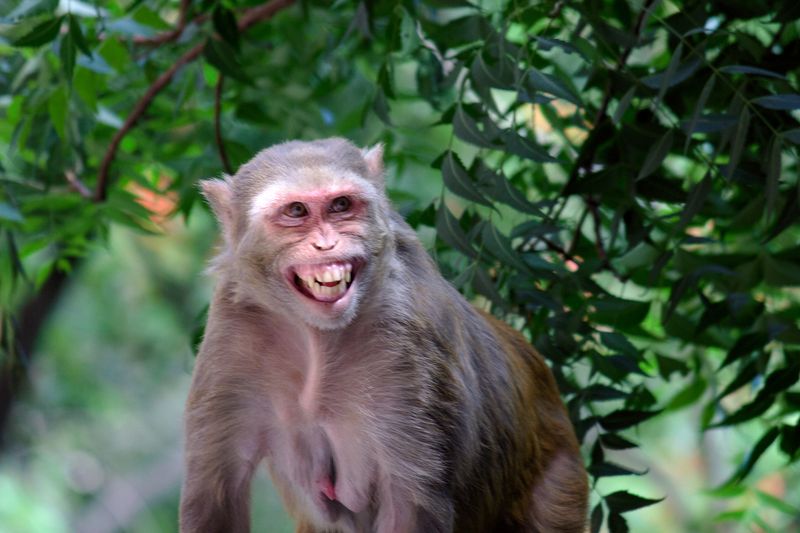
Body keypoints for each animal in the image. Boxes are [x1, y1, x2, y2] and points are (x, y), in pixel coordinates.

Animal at [179, 138, 588, 533]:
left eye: (341, 205)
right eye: (296, 211)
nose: (326, 244)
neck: (317, 338)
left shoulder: (408, 347)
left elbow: (411, 504)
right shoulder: (232, 331)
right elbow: (215, 492)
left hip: (560, 478)